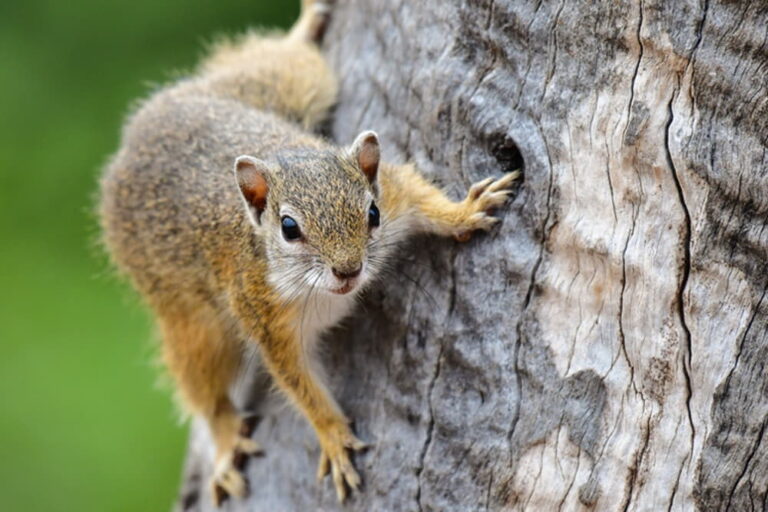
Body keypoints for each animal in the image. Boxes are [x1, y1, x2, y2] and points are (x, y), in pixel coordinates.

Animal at [99, 0, 519, 505]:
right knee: (204, 387)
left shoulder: (396, 192)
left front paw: (464, 211)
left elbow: (424, 198)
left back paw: (302, 29)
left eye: (373, 212)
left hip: (285, 84)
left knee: (281, 59)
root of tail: (133, 138)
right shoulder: (264, 319)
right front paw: (333, 437)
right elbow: (300, 386)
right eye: (289, 228)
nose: (348, 271)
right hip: (188, 317)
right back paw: (224, 438)